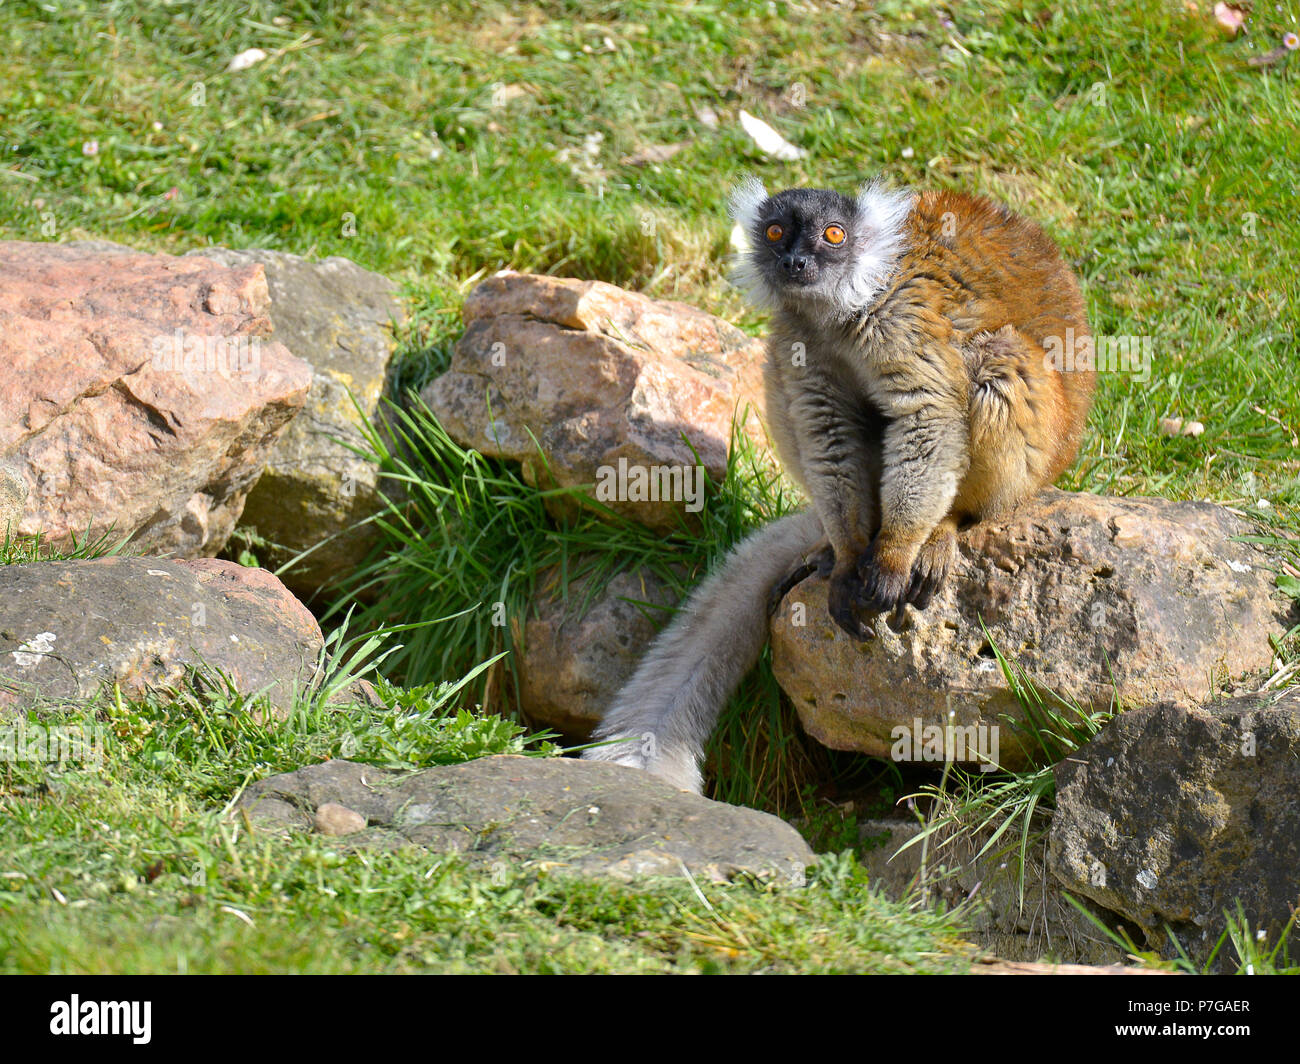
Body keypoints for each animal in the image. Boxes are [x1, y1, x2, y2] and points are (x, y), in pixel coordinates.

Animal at [581, 178, 1095, 793]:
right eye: (776, 231)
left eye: (832, 235)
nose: (795, 262)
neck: (838, 313)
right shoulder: (800, 335)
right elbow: (826, 430)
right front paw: (850, 557)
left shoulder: (901, 320)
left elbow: (929, 415)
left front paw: (894, 554)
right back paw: (827, 546)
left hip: (1036, 458)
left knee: (998, 359)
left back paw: (945, 526)